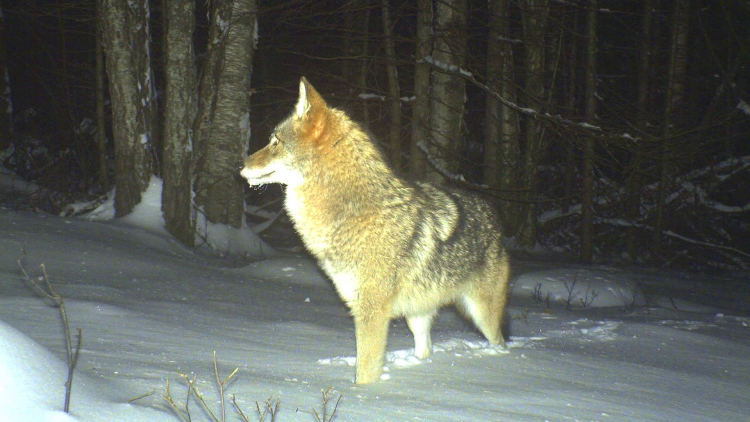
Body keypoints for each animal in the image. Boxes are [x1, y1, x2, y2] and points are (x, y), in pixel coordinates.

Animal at [241, 77, 511, 384]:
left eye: (275, 141)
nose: (241, 165)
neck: (353, 212)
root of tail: (492, 214)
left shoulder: (372, 311)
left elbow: (366, 370)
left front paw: (363, 394)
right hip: (417, 316)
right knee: (425, 349)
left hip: (482, 315)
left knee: (499, 342)